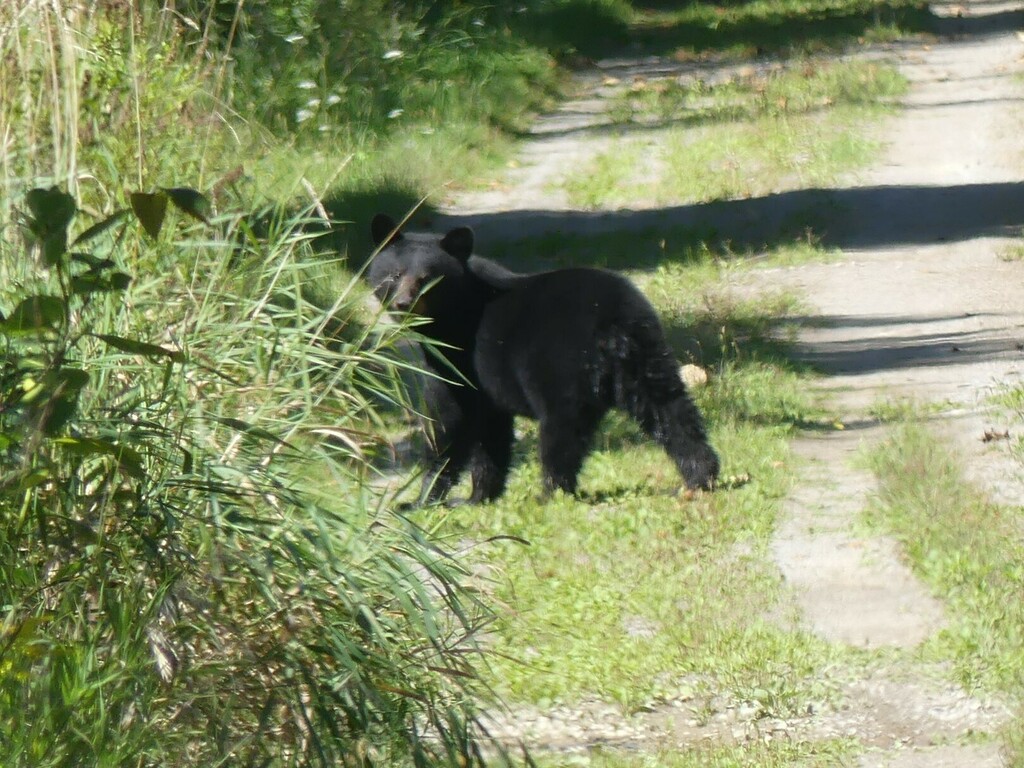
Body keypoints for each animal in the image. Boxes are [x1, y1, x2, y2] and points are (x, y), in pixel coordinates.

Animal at [368, 213, 720, 504]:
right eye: (395, 274)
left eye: (428, 278)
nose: (403, 303)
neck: (456, 310)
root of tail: (611, 322)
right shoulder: (487, 386)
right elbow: (491, 433)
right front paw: (478, 496)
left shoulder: (459, 358)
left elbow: (451, 419)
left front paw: (420, 498)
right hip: (647, 353)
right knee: (670, 408)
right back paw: (701, 475)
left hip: (561, 367)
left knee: (562, 431)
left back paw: (550, 492)